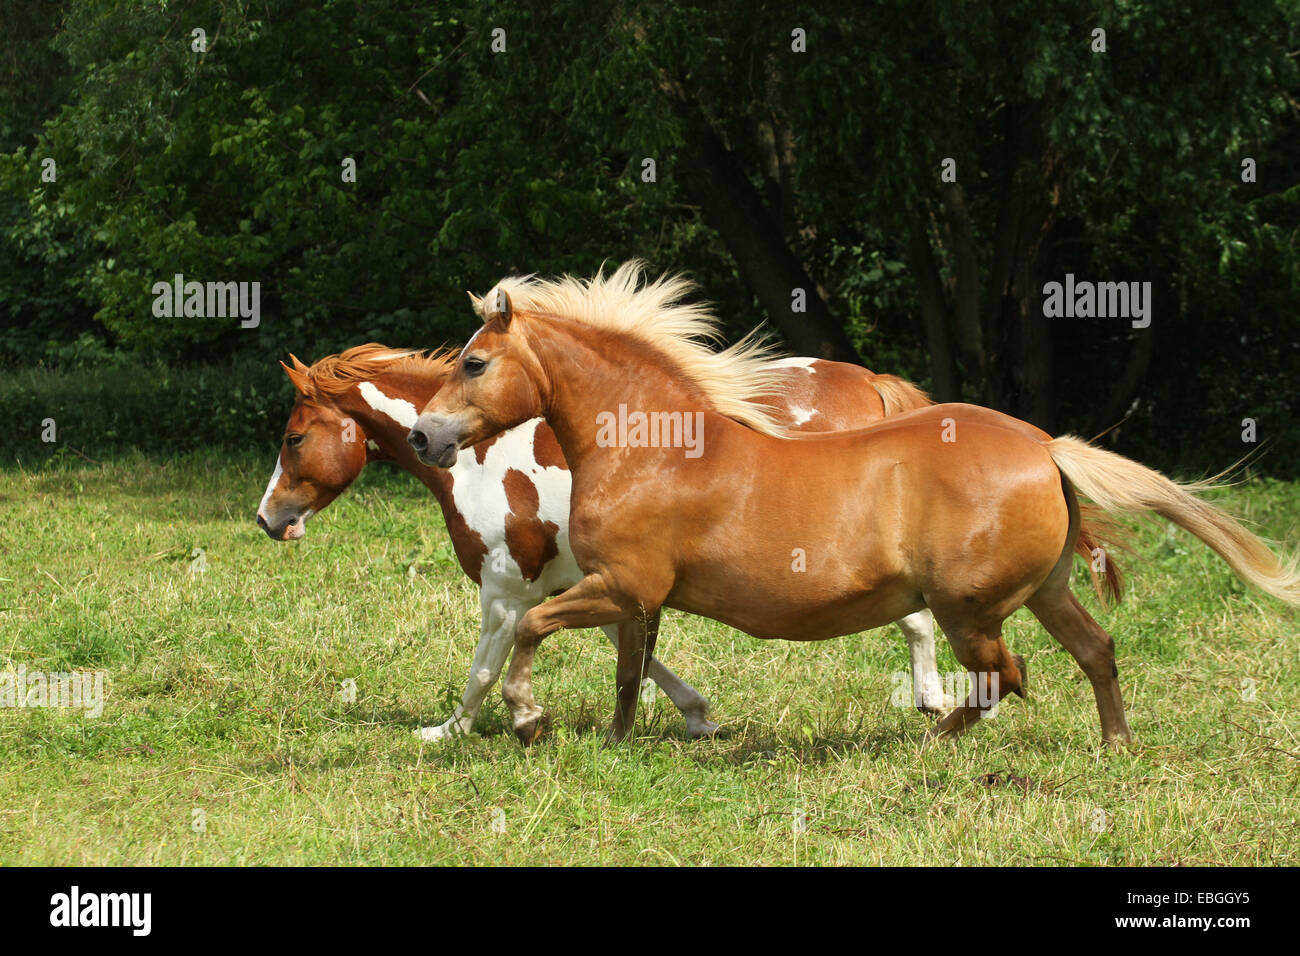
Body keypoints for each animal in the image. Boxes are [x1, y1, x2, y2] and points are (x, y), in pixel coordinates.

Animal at [256, 334, 975, 740]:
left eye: (293, 438)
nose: (267, 519)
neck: (482, 455)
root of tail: (867, 383)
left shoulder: (506, 589)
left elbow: (485, 668)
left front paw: (452, 731)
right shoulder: (599, 583)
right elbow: (638, 657)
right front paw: (696, 715)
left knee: (915, 620)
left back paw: (932, 701)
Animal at [406, 261, 1300, 747]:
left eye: (475, 363)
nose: (422, 435)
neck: (654, 448)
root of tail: (1045, 447)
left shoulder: (622, 585)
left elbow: (530, 627)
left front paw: (527, 717)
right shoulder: (635, 597)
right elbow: (630, 675)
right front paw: (622, 740)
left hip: (969, 609)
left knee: (1003, 678)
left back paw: (933, 740)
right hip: (1043, 592)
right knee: (1095, 651)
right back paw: (1115, 745)